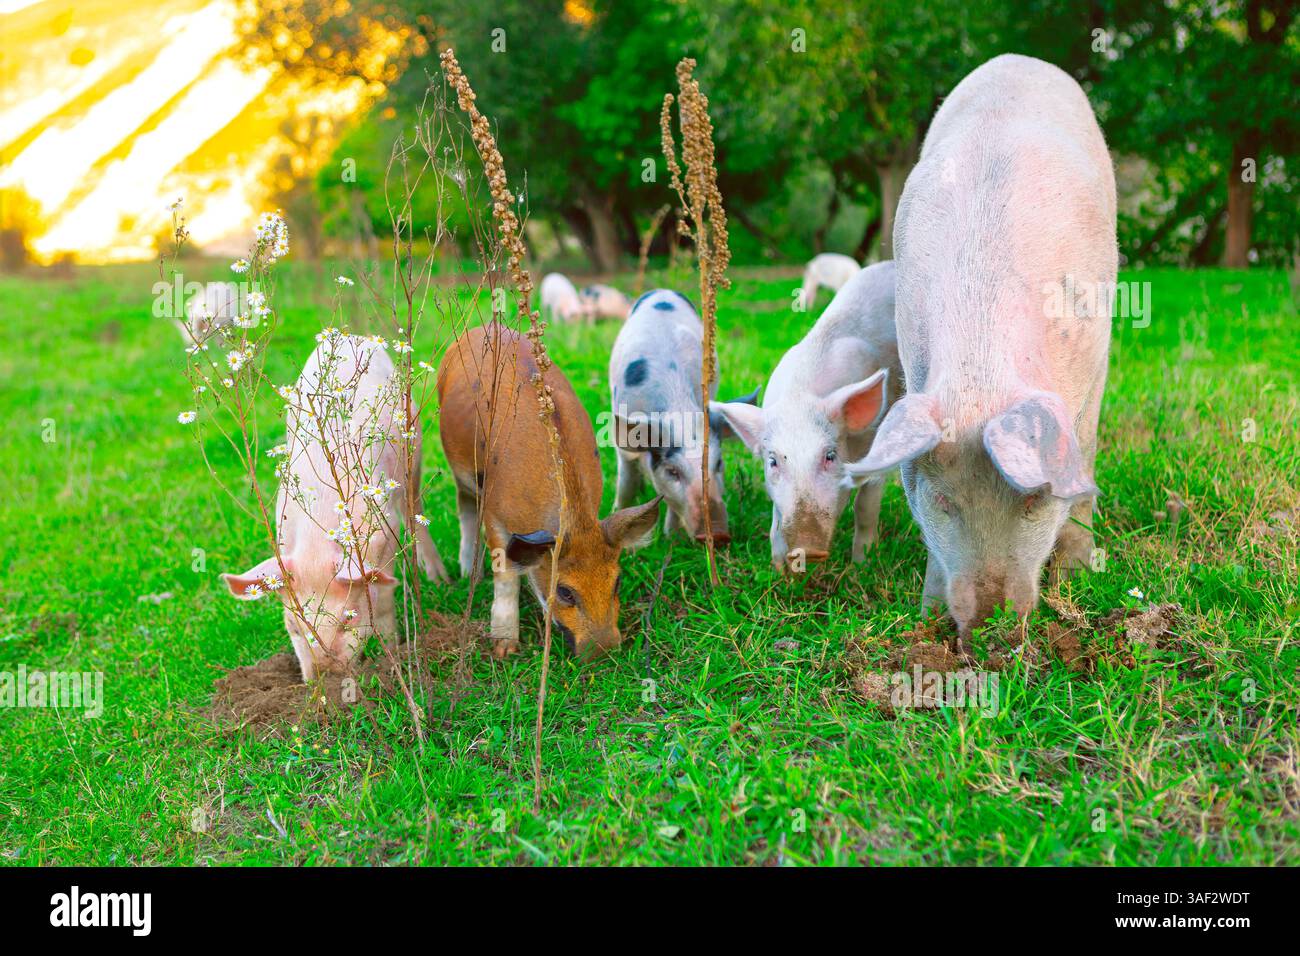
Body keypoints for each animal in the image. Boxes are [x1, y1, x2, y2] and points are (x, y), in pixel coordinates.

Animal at [222, 333, 449, 680]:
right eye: (294, 626)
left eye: (348, 618)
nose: (326, 677)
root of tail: (351, 336)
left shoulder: (385, 530)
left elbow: (384, 598)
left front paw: (393, 650)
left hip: (414, 444)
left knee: (414, 508)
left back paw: (440, 578)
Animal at [439, 323, 662, 659]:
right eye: (565, 592)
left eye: (617, 582)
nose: (604, 652)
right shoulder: (494, 511)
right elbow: (506, 574)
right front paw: (505, 649)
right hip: (461, 475)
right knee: (464, 509)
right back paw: (468, 575)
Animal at [608, 288, 756, 545]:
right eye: (672, 471)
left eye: (718, 463)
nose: (718, 535)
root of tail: (662, 291)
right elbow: (626, 482)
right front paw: (618, 513)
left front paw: (672, 540)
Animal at [711, 261, 900, 571]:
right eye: (773, 461)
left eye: (830, 456)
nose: (806, 549)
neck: (801, 396)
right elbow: (776, 520)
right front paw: (778, 569)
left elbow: (866, 504)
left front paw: (861, 566)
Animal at [843, 54, 1115, 642]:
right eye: (944, 501)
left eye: (1034, 500)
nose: (989, 625)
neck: (980, 372)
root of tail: (1021, 58)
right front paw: (927, 611)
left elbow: (1084, 452)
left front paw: (1079, 574)